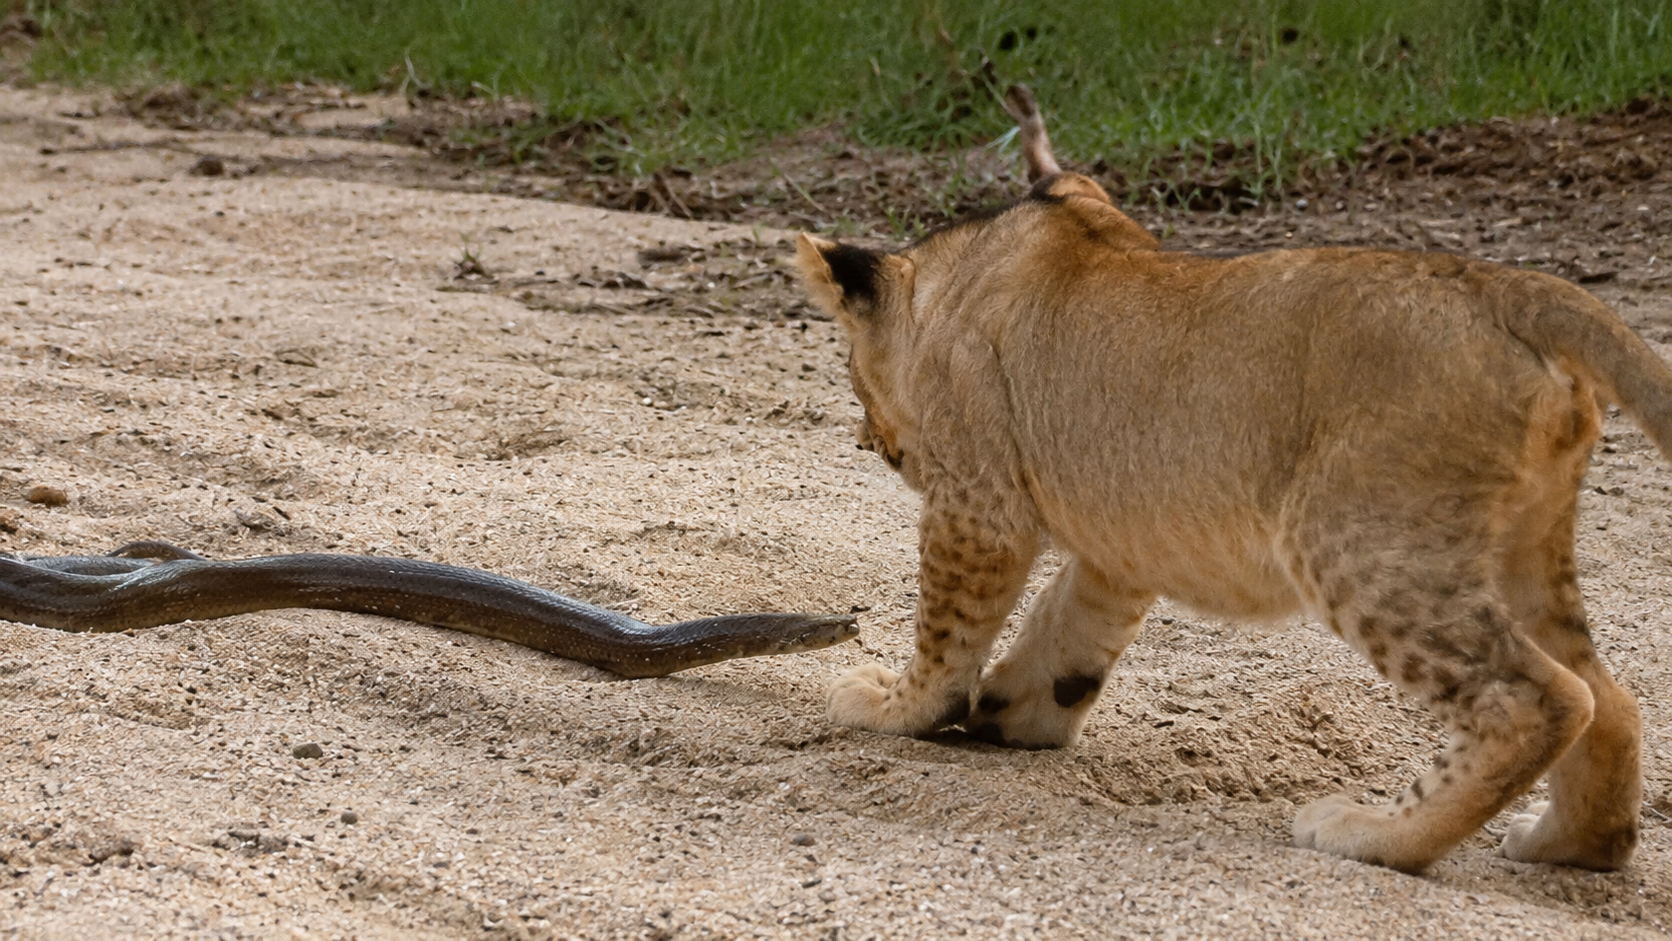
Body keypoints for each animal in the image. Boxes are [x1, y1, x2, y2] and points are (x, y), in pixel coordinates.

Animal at [793, 84, 1669, 874]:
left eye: (853, 379)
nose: (867, 438)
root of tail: (1504, 290)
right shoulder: (1124, 541)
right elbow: (1070, 623)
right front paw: (1020, 709)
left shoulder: (977, 507)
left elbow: (948, 634)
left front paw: (897, 705)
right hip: (1520, 543)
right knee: (1611, 697)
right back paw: (1571, 846)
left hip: (1357, 540)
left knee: (1537, 697)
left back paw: (1373, 834)